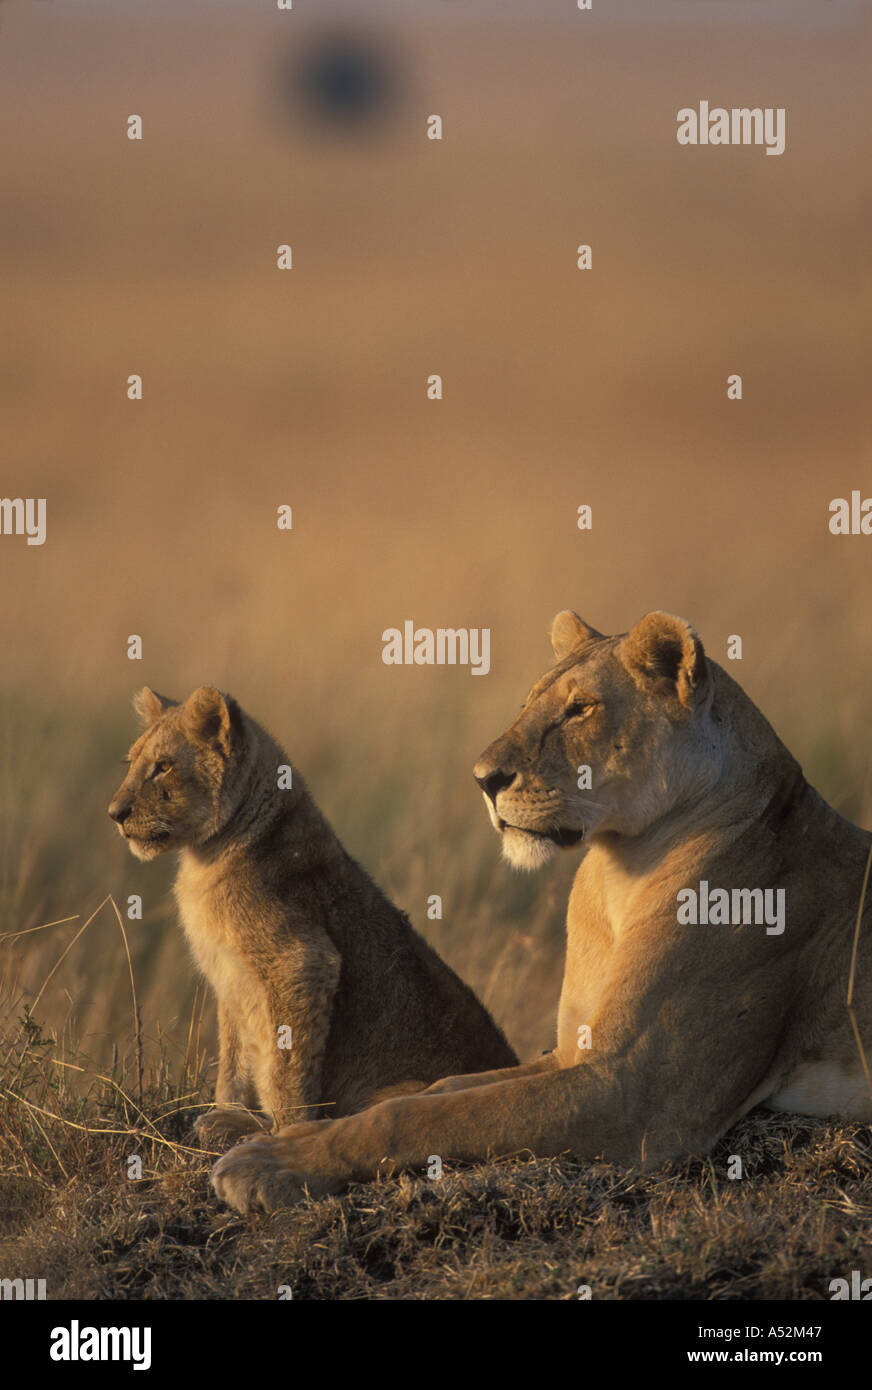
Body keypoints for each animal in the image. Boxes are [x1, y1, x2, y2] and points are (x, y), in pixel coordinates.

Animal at [108, 686, 517, 1148]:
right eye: (132, 763)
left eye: (163, 766)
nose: (114, 813)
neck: (206, 856)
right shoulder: (230, 979)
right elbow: (233, 1059)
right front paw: (226, 1114)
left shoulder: (303, 960)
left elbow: (287, 1064)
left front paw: (281, 1131)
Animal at [209, 610, 872, 1212]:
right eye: (530, 701)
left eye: (580, 710)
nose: (483, 779)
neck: (620, 873)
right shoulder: (578, 1052)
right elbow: (445, 1090)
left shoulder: (636, 1095)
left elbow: (429, 1117)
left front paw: (272, 1162)